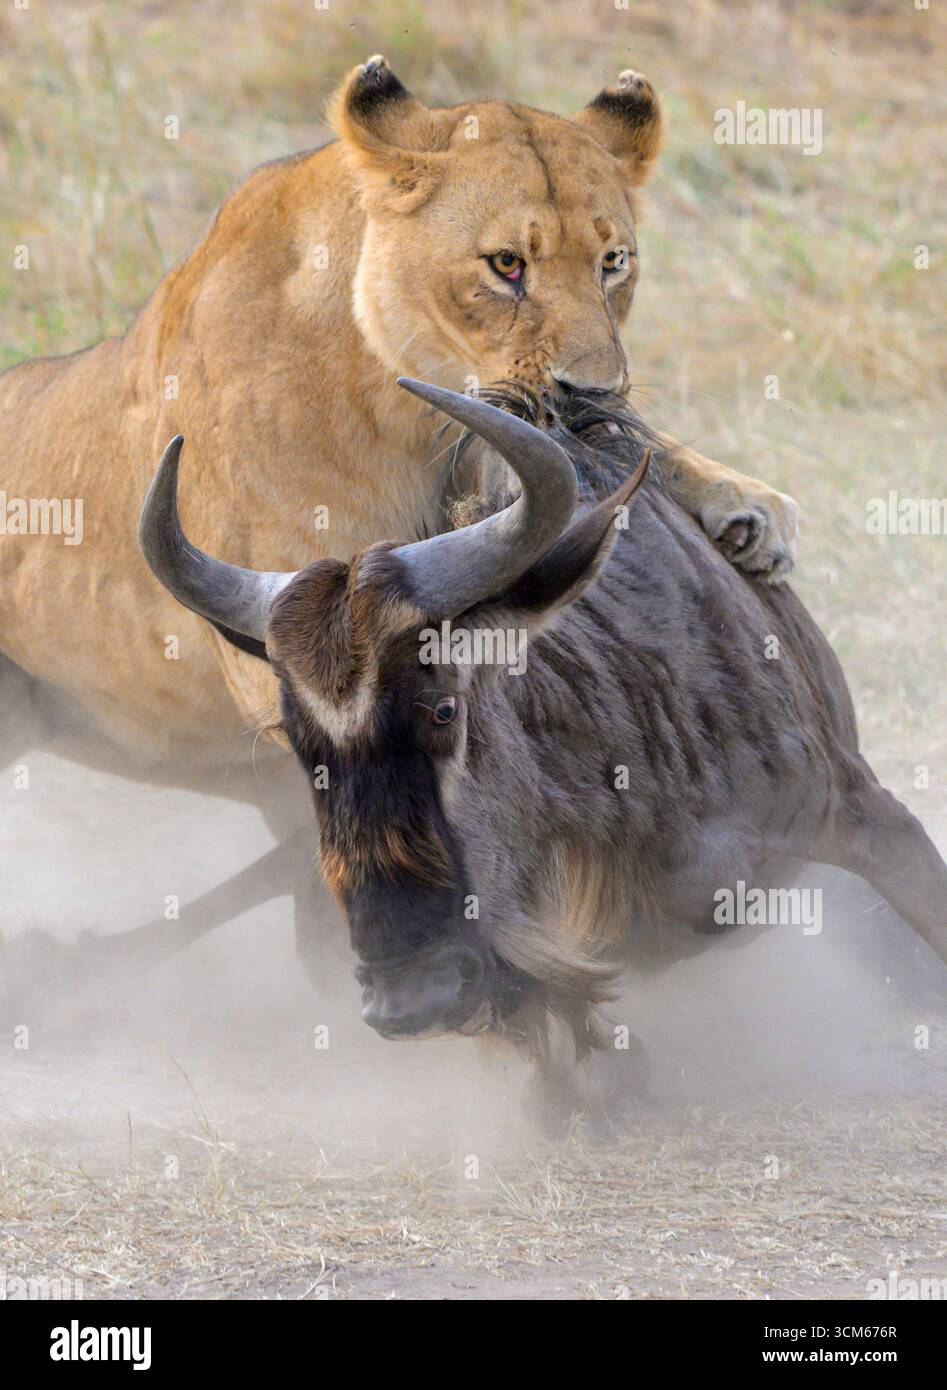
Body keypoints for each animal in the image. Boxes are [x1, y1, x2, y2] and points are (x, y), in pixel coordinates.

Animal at [0, 57, 797, 796]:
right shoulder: (300, 641)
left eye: (613, 262)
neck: (415, 421)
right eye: (506, 264)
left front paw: (748, 505)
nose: (592, 394)